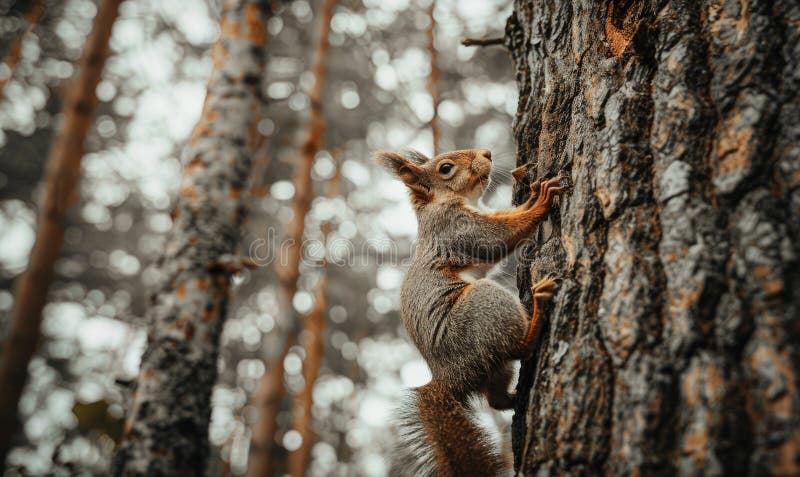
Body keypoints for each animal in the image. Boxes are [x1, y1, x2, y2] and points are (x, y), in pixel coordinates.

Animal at [374, 148, 563, 477]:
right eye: (446, 168)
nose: (486, 153)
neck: (442, 203)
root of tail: (447, 379)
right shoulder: (454, 226)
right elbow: (496, 237)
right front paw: (539, 201)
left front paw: (528, 194)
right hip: (483, 306)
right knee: (520, 349)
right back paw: (539, 312)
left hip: (494, 362)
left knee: (496, 398)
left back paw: (515, 399)